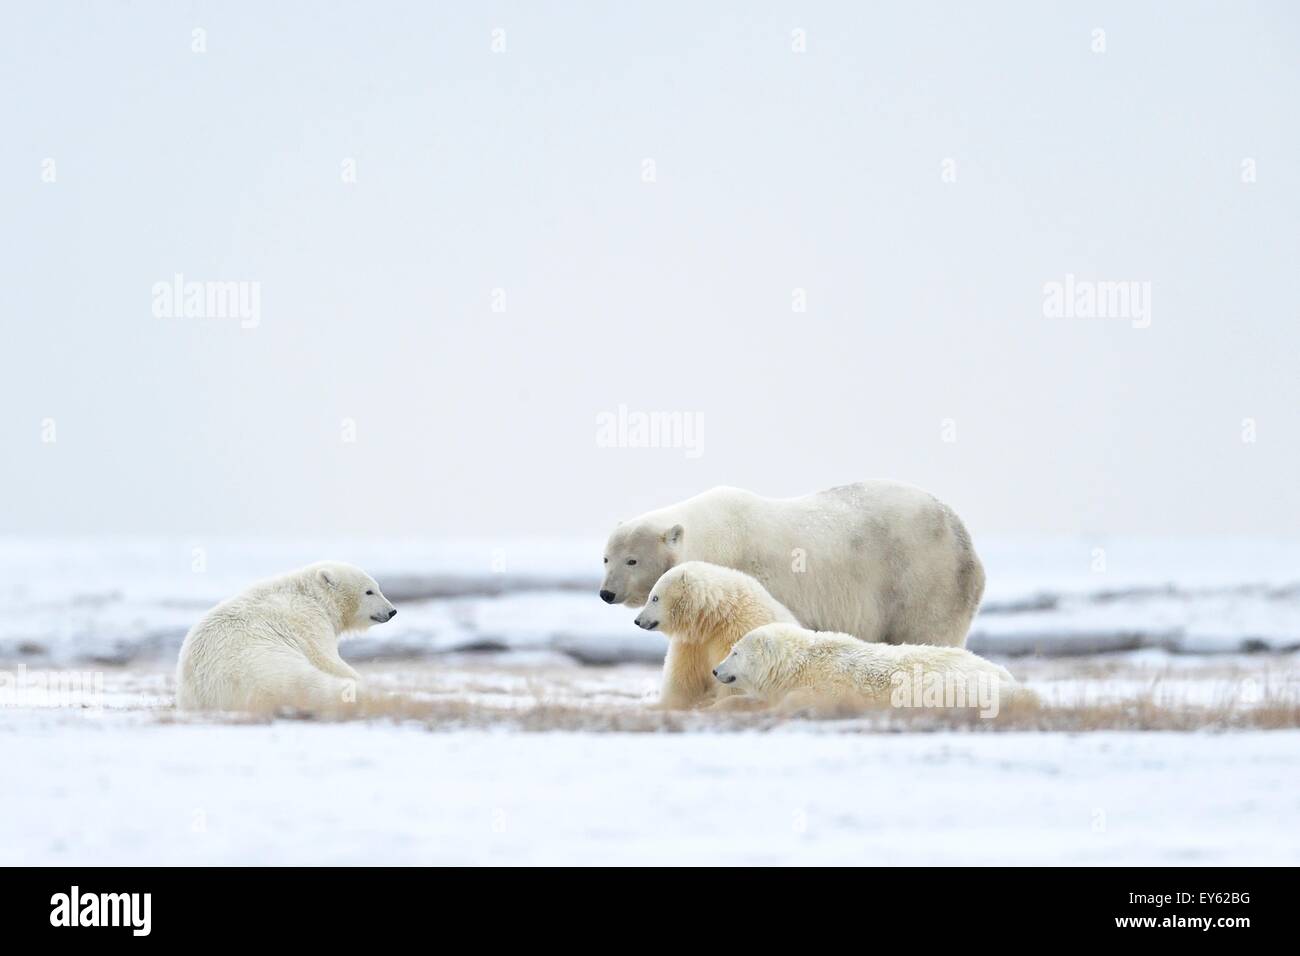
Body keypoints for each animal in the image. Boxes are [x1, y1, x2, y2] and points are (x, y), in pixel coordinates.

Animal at [175, 561, 397, 712]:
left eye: (377, 588)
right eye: (369, 591)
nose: (392, 611)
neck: (313, 595)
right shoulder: (309, 619)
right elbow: (325, 657)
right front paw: (358, 680)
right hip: (264, 665)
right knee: (307, 682)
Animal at [600, 481, 984, 648]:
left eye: (632, 560)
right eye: (606, 557)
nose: (606, 593)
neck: (716, 536)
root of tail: (960, 530)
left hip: (923, 577)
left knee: (926, 631)